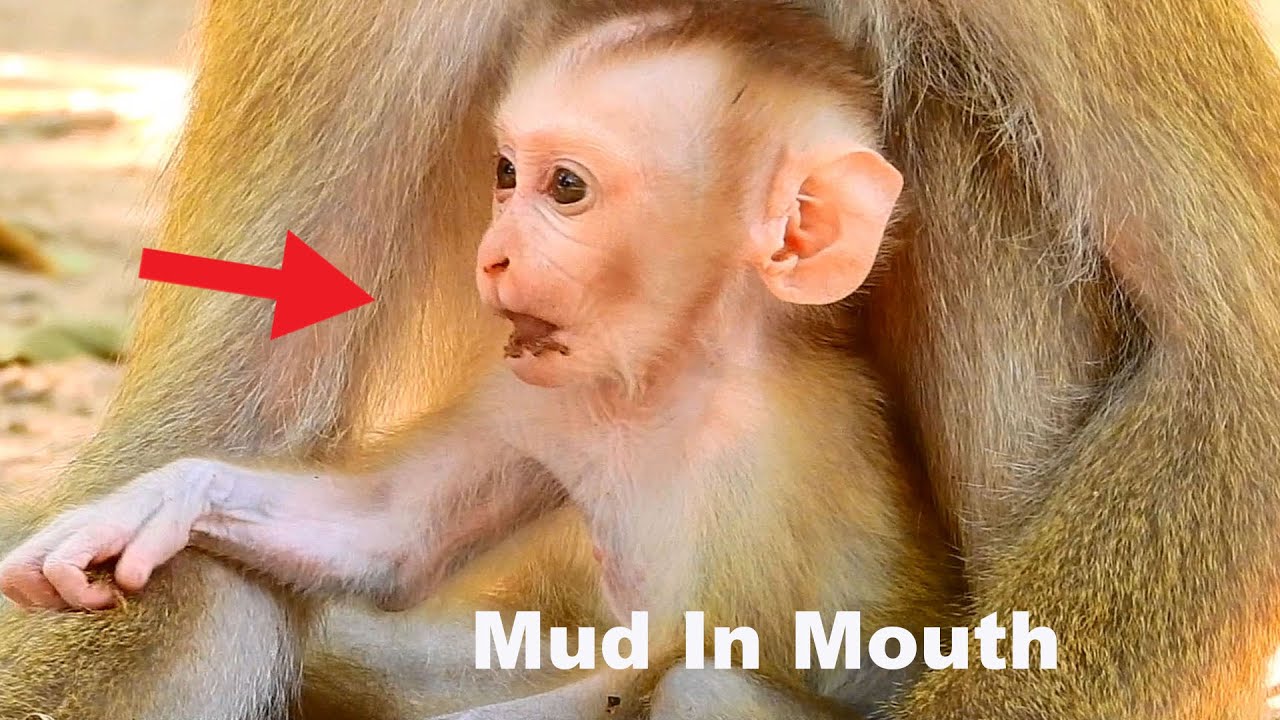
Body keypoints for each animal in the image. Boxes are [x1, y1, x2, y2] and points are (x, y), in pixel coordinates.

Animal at [1, 0, 1279, 718]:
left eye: (565, 189)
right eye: (505, 175)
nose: (500, 256)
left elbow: (1234, 360)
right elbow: (244, 433)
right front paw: (159, 506)